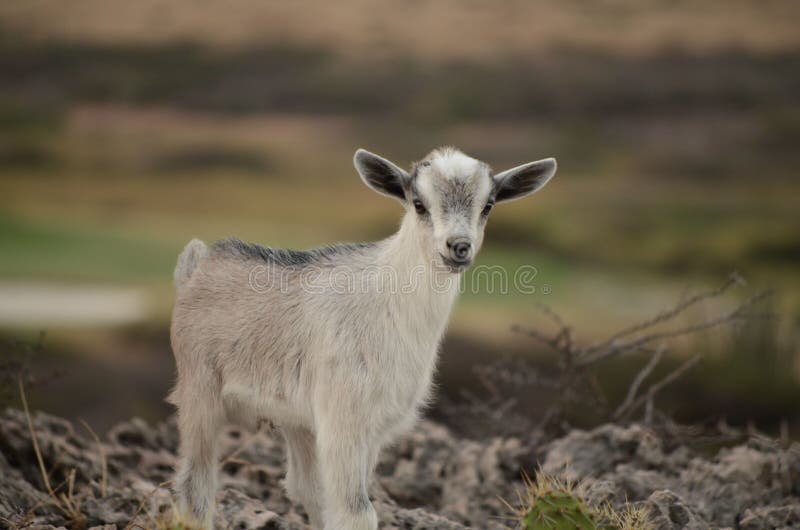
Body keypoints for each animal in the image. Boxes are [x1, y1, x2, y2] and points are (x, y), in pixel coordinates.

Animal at [169, 147, 557, 529]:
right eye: (418, 203)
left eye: (488, 204)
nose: (458, 247)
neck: (389, 302)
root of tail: (196, 266)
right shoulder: (345, 418)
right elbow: (356, 511)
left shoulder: (372, 428)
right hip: (200, 390)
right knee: (195, 485)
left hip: (296, 419)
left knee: (305, 487)